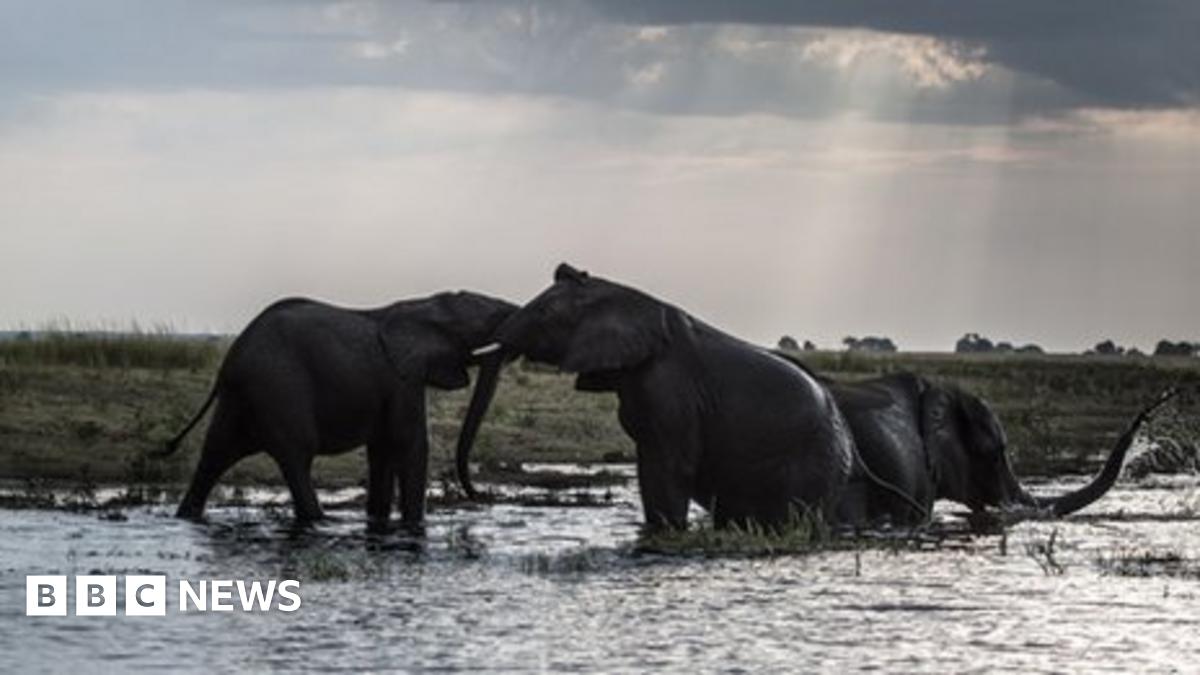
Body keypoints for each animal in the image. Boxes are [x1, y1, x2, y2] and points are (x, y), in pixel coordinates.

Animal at [162, 291, 517, 529]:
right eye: (488, 322)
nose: (479, 496)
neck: (423, 304)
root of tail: (229, 361)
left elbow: (382, 451)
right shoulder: (402, 378)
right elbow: (410, 444)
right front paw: (414, 529)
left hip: (242, 398)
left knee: (214, 456)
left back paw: (187, 518)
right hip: (278, 389)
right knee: (296, 460)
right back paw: (320, 522)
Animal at [454, 263, 887, 530]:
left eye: (545, 316)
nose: (480, 496)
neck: (623, 294)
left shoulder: (669, 388)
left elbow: (669, 467)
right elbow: (649, 466)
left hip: (812, 462)